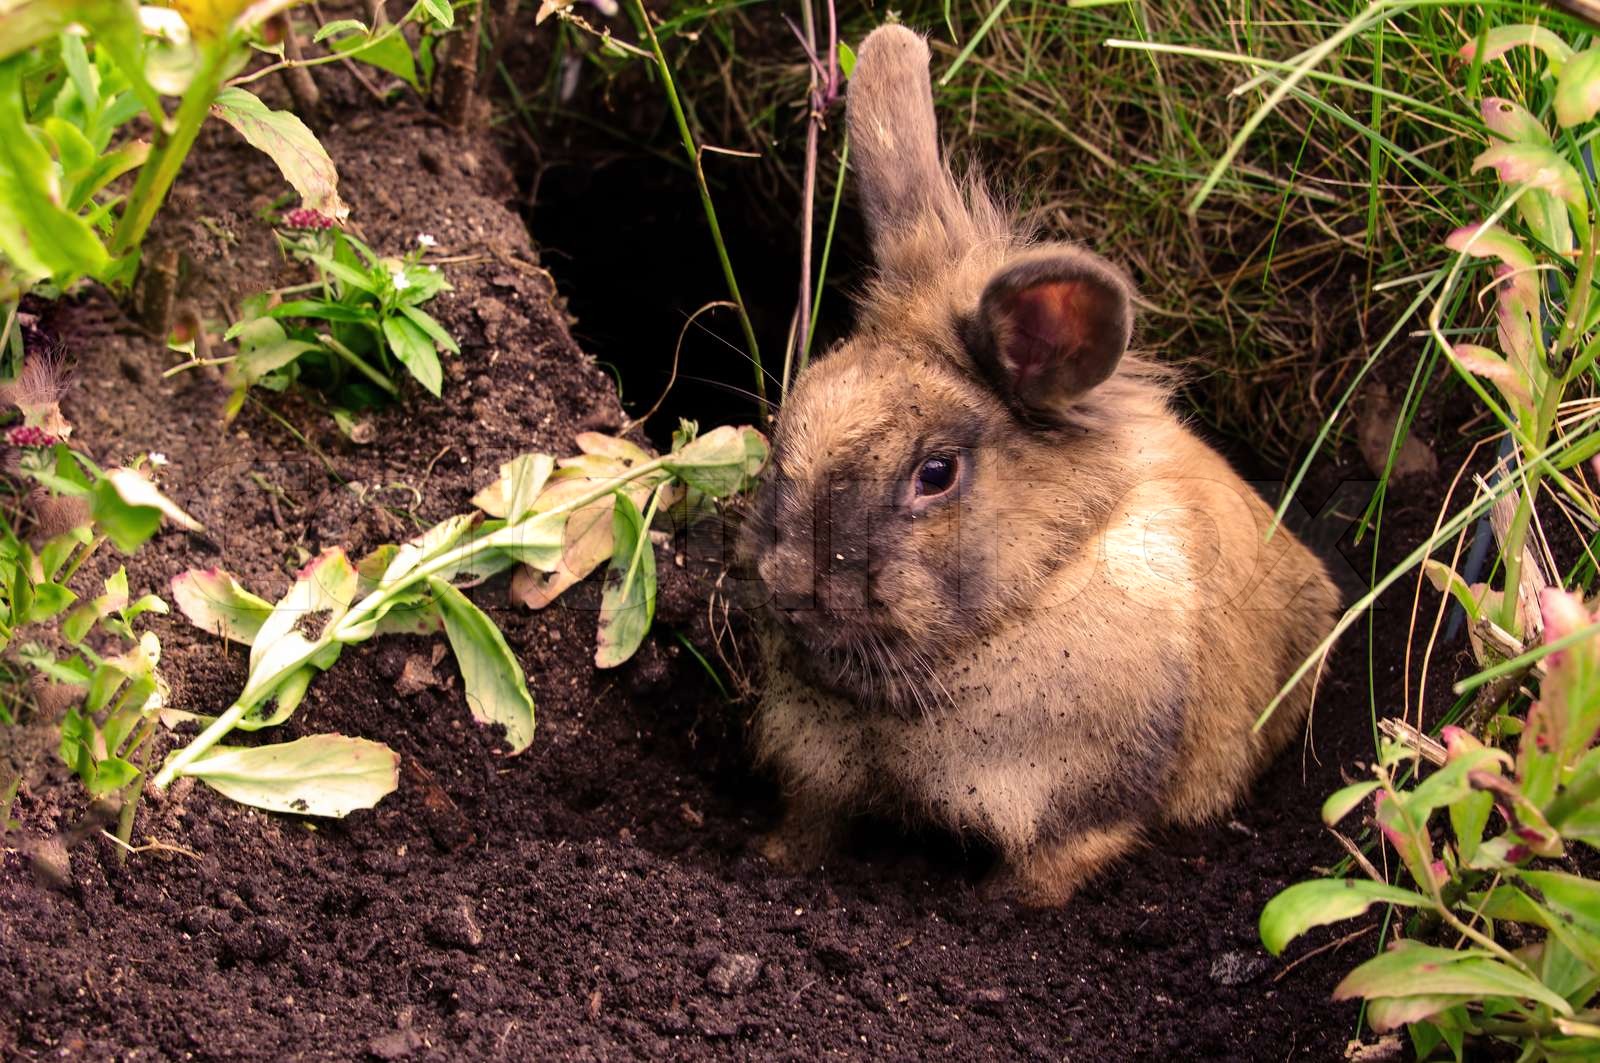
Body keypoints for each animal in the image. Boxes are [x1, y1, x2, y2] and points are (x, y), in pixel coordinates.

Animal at [737, 24, 1342, 906]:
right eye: (792, 419)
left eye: (936, 473)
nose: (787, 586)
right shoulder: (817, 774)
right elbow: (809, 825)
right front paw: (772, 861)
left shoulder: (1081, 808)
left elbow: (1043, 874)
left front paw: (991, 912)